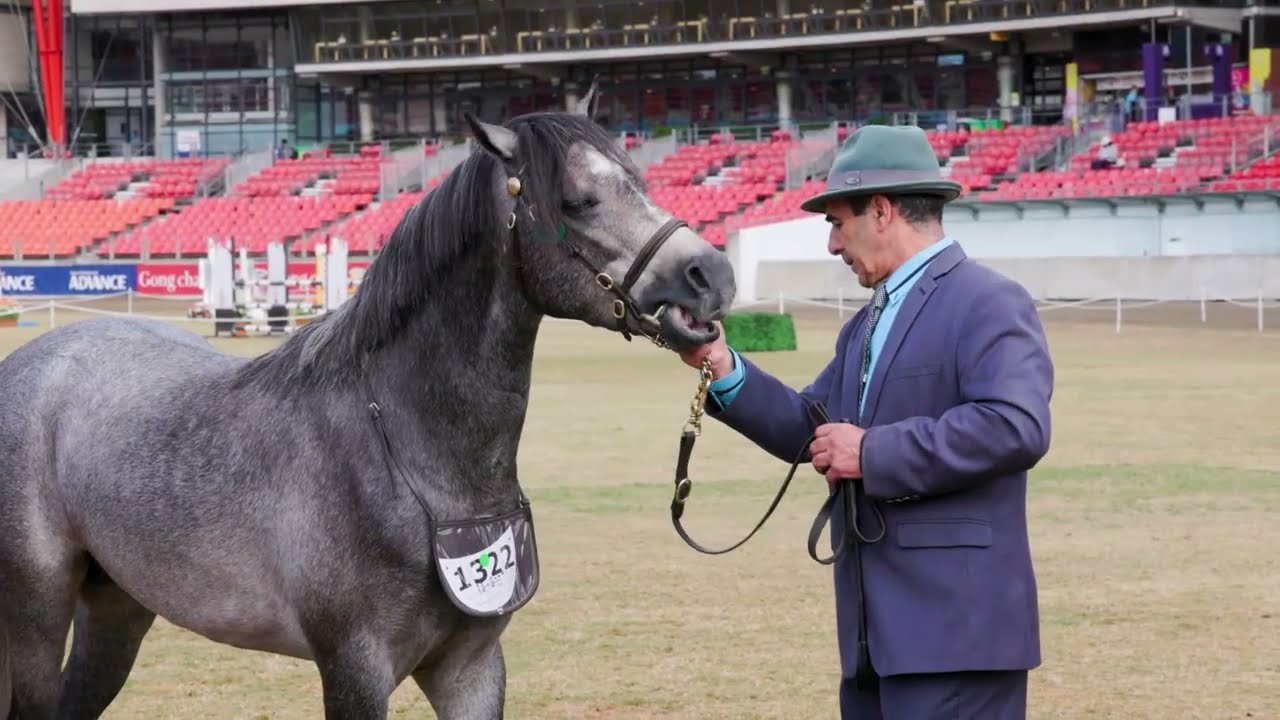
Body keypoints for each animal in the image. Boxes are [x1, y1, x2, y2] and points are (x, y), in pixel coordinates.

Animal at [0, 84, 736, 720]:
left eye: (638, 180)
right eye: (579, 200)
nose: (713, 275)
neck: (414, 458)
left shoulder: (471, 667)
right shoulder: (354, 667)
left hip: (117, 608)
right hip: (35, 615)